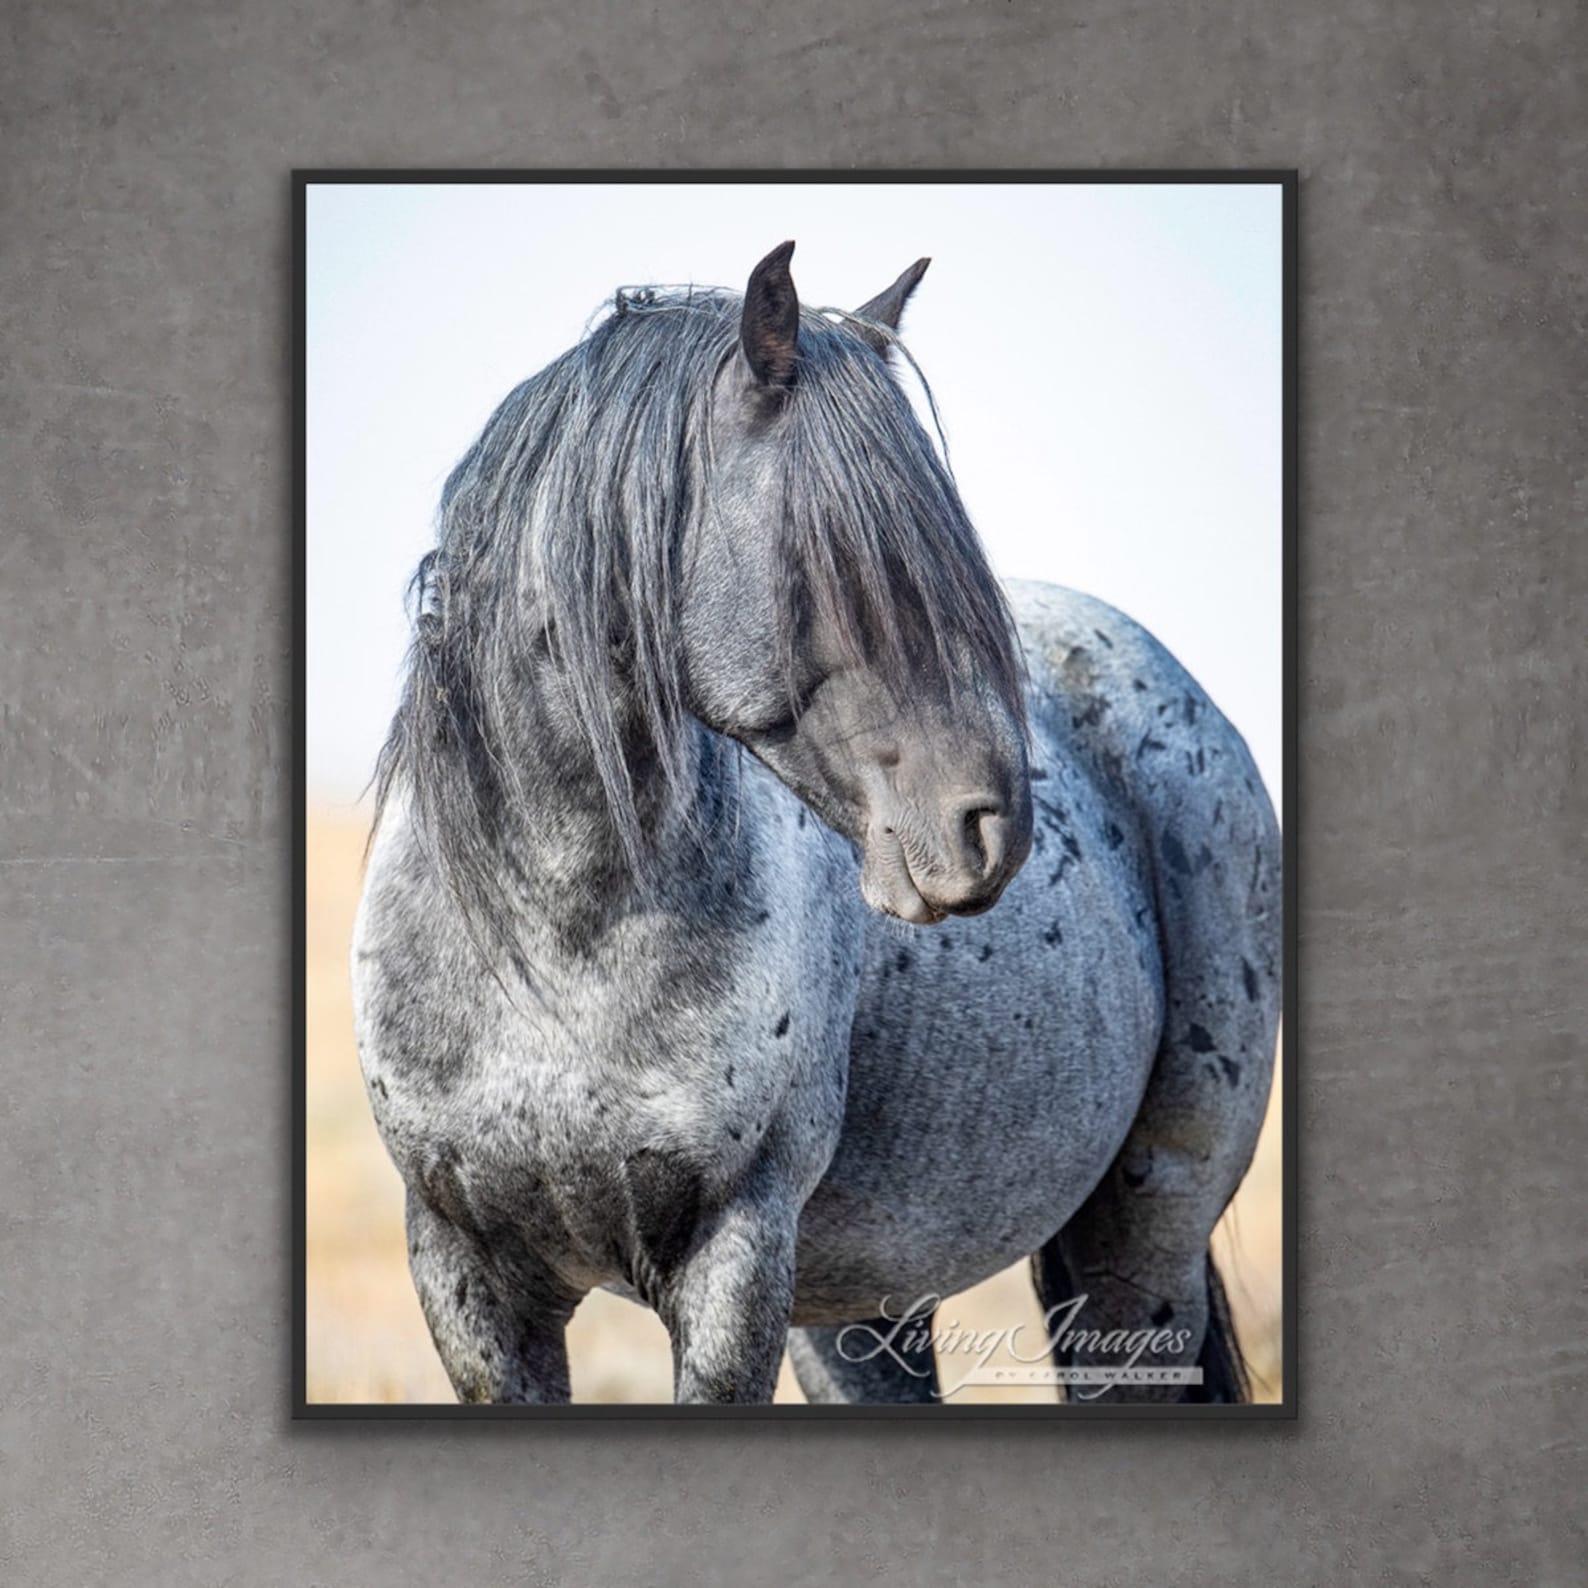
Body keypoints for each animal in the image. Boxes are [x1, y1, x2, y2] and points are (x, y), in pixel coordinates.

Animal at [351, 241, 1282, 1405]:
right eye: (837, 549)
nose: (992, 831)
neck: (555, 942)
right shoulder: (467, 1278)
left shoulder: (732, 1261)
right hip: (862, 1309)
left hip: (1146, 1232)